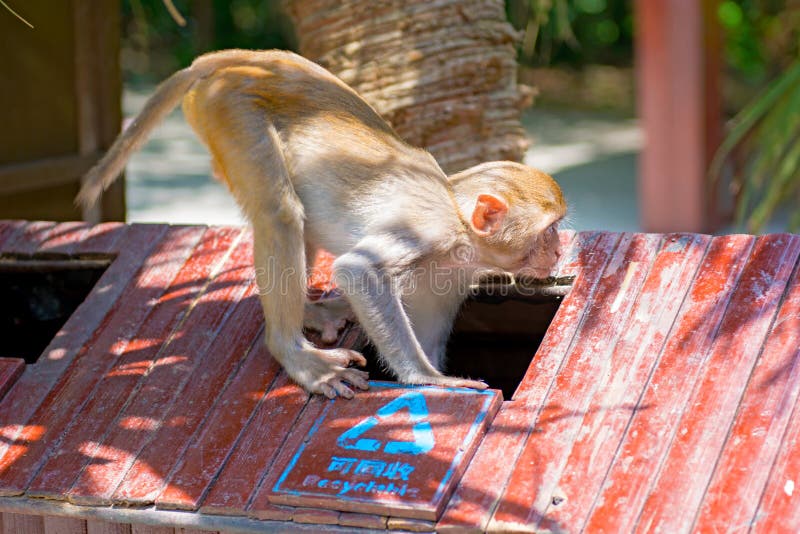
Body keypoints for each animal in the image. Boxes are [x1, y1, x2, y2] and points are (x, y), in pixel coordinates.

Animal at [77, 49, 566, 399]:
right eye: (549, 230)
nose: (560, 250)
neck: (460, 225)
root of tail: (241, 58)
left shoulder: (454, 276)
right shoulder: (426, 229)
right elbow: (359, 270)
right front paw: (428, 379)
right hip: (228, 106)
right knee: (280, 211)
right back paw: (293, 351)